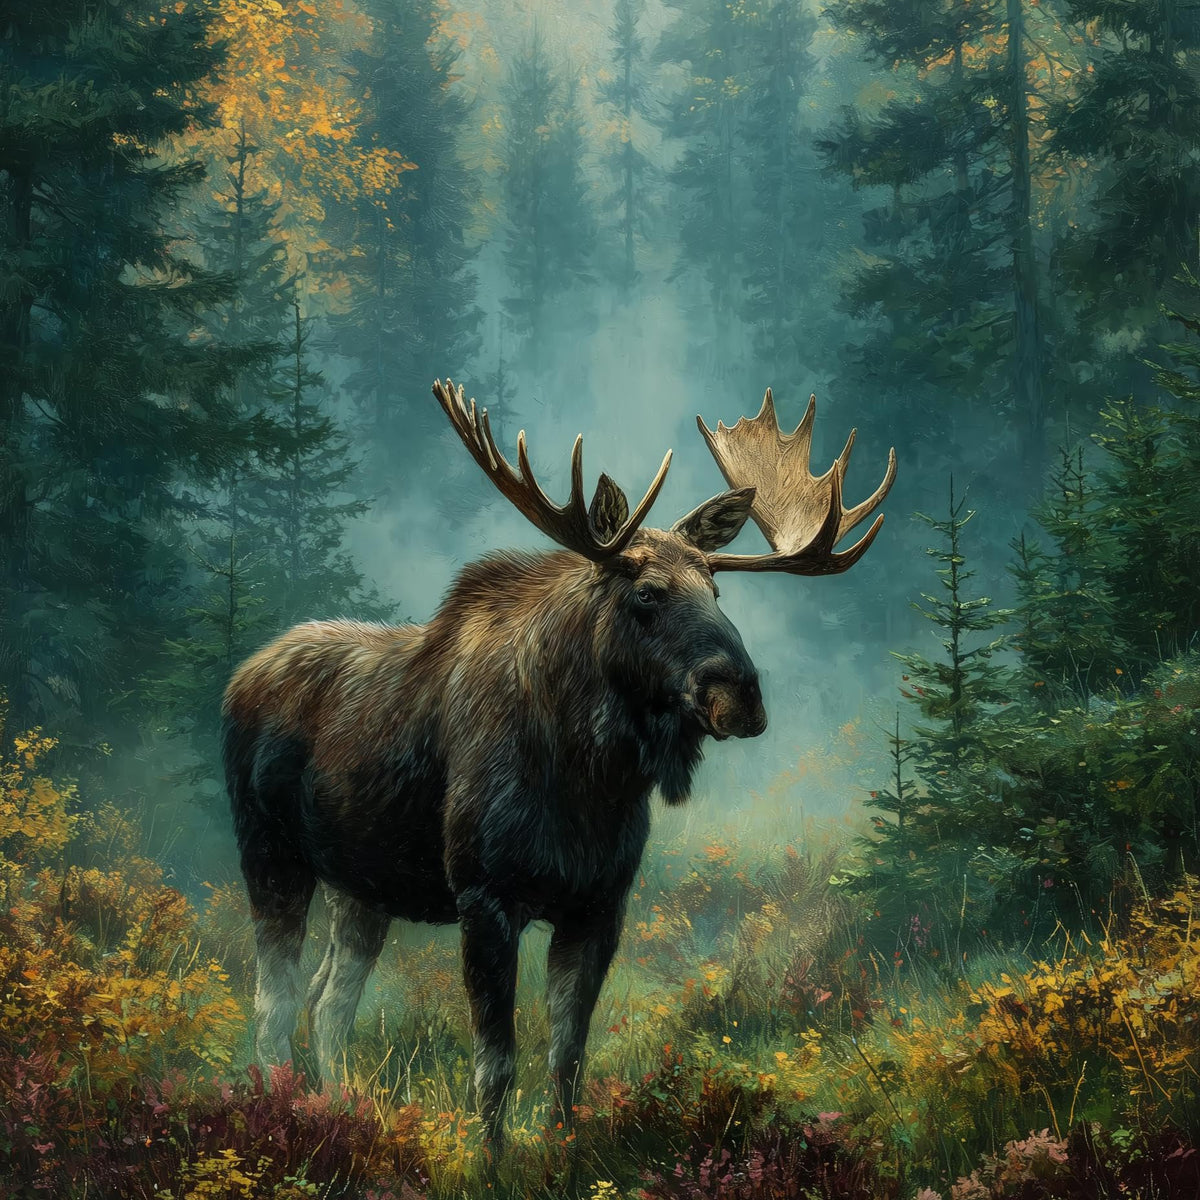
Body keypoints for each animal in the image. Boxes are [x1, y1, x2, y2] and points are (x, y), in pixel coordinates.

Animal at [222, 378, 896, 1147]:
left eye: (717, 591)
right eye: (647, 594)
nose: (742, 696)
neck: (588, 779)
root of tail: (241, 675)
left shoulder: (599, 903)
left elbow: (567, 1057)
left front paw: (563, 1153)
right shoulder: (484, 896)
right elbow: (495, 1066)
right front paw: (489, 1161)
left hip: (362, 886)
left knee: (327, 1003)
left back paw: (341, 1111)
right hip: (270, 854)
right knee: (272, 1003)